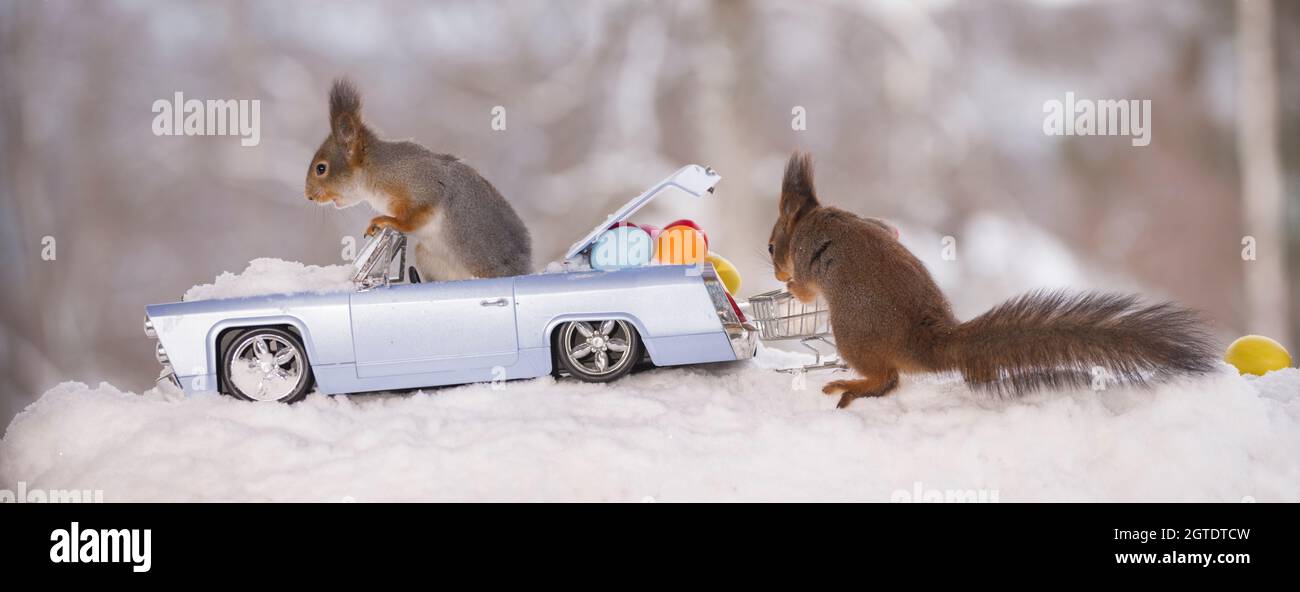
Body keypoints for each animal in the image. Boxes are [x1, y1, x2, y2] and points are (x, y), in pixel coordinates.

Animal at [304, 78, 532, 280]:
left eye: (321, 168)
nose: (308, 196)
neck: (376, 172)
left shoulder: (423, 188)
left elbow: (412, 218)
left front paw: (385, 220)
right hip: (428, 255)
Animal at [768, 151, 1218, 409]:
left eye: (772, 247)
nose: (774, 270)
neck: (811, 217)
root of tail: (925, 341)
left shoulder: (807, 260)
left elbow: (805, 290)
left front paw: (789, 289)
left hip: (851, 330)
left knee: (888, 380)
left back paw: (852, 386)